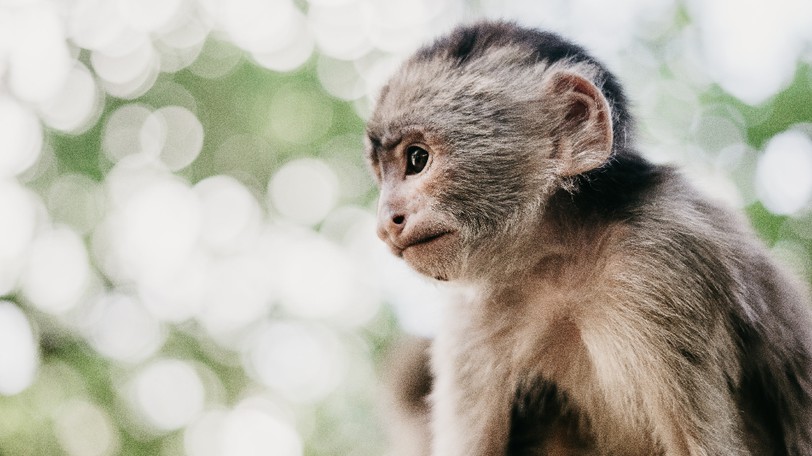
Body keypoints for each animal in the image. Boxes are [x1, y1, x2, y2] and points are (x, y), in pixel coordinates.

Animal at [365, 21, 812, 456]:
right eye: (383, 174)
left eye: (417, 160)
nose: (386, 223)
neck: (561, 260)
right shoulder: (471, 321)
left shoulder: (668, 258)